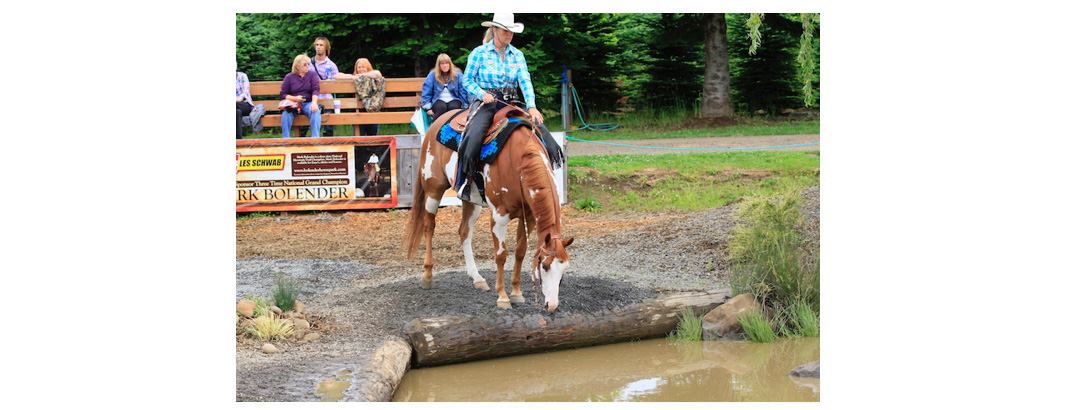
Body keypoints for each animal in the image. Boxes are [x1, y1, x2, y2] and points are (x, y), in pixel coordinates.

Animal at [402, 105, 573, 311]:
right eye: (545, 266)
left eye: (564, 270)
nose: (552, 304)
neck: (518, 162)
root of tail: (438, 121)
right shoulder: (499, 217)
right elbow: (501, 255)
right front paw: (503, 297)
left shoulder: (529, 217)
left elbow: (520, 252)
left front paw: (516, 292)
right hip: (432, 190)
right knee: (429, 227)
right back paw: (427, 275)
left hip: (471, 201)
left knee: (464, 232)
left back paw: (477, 278)